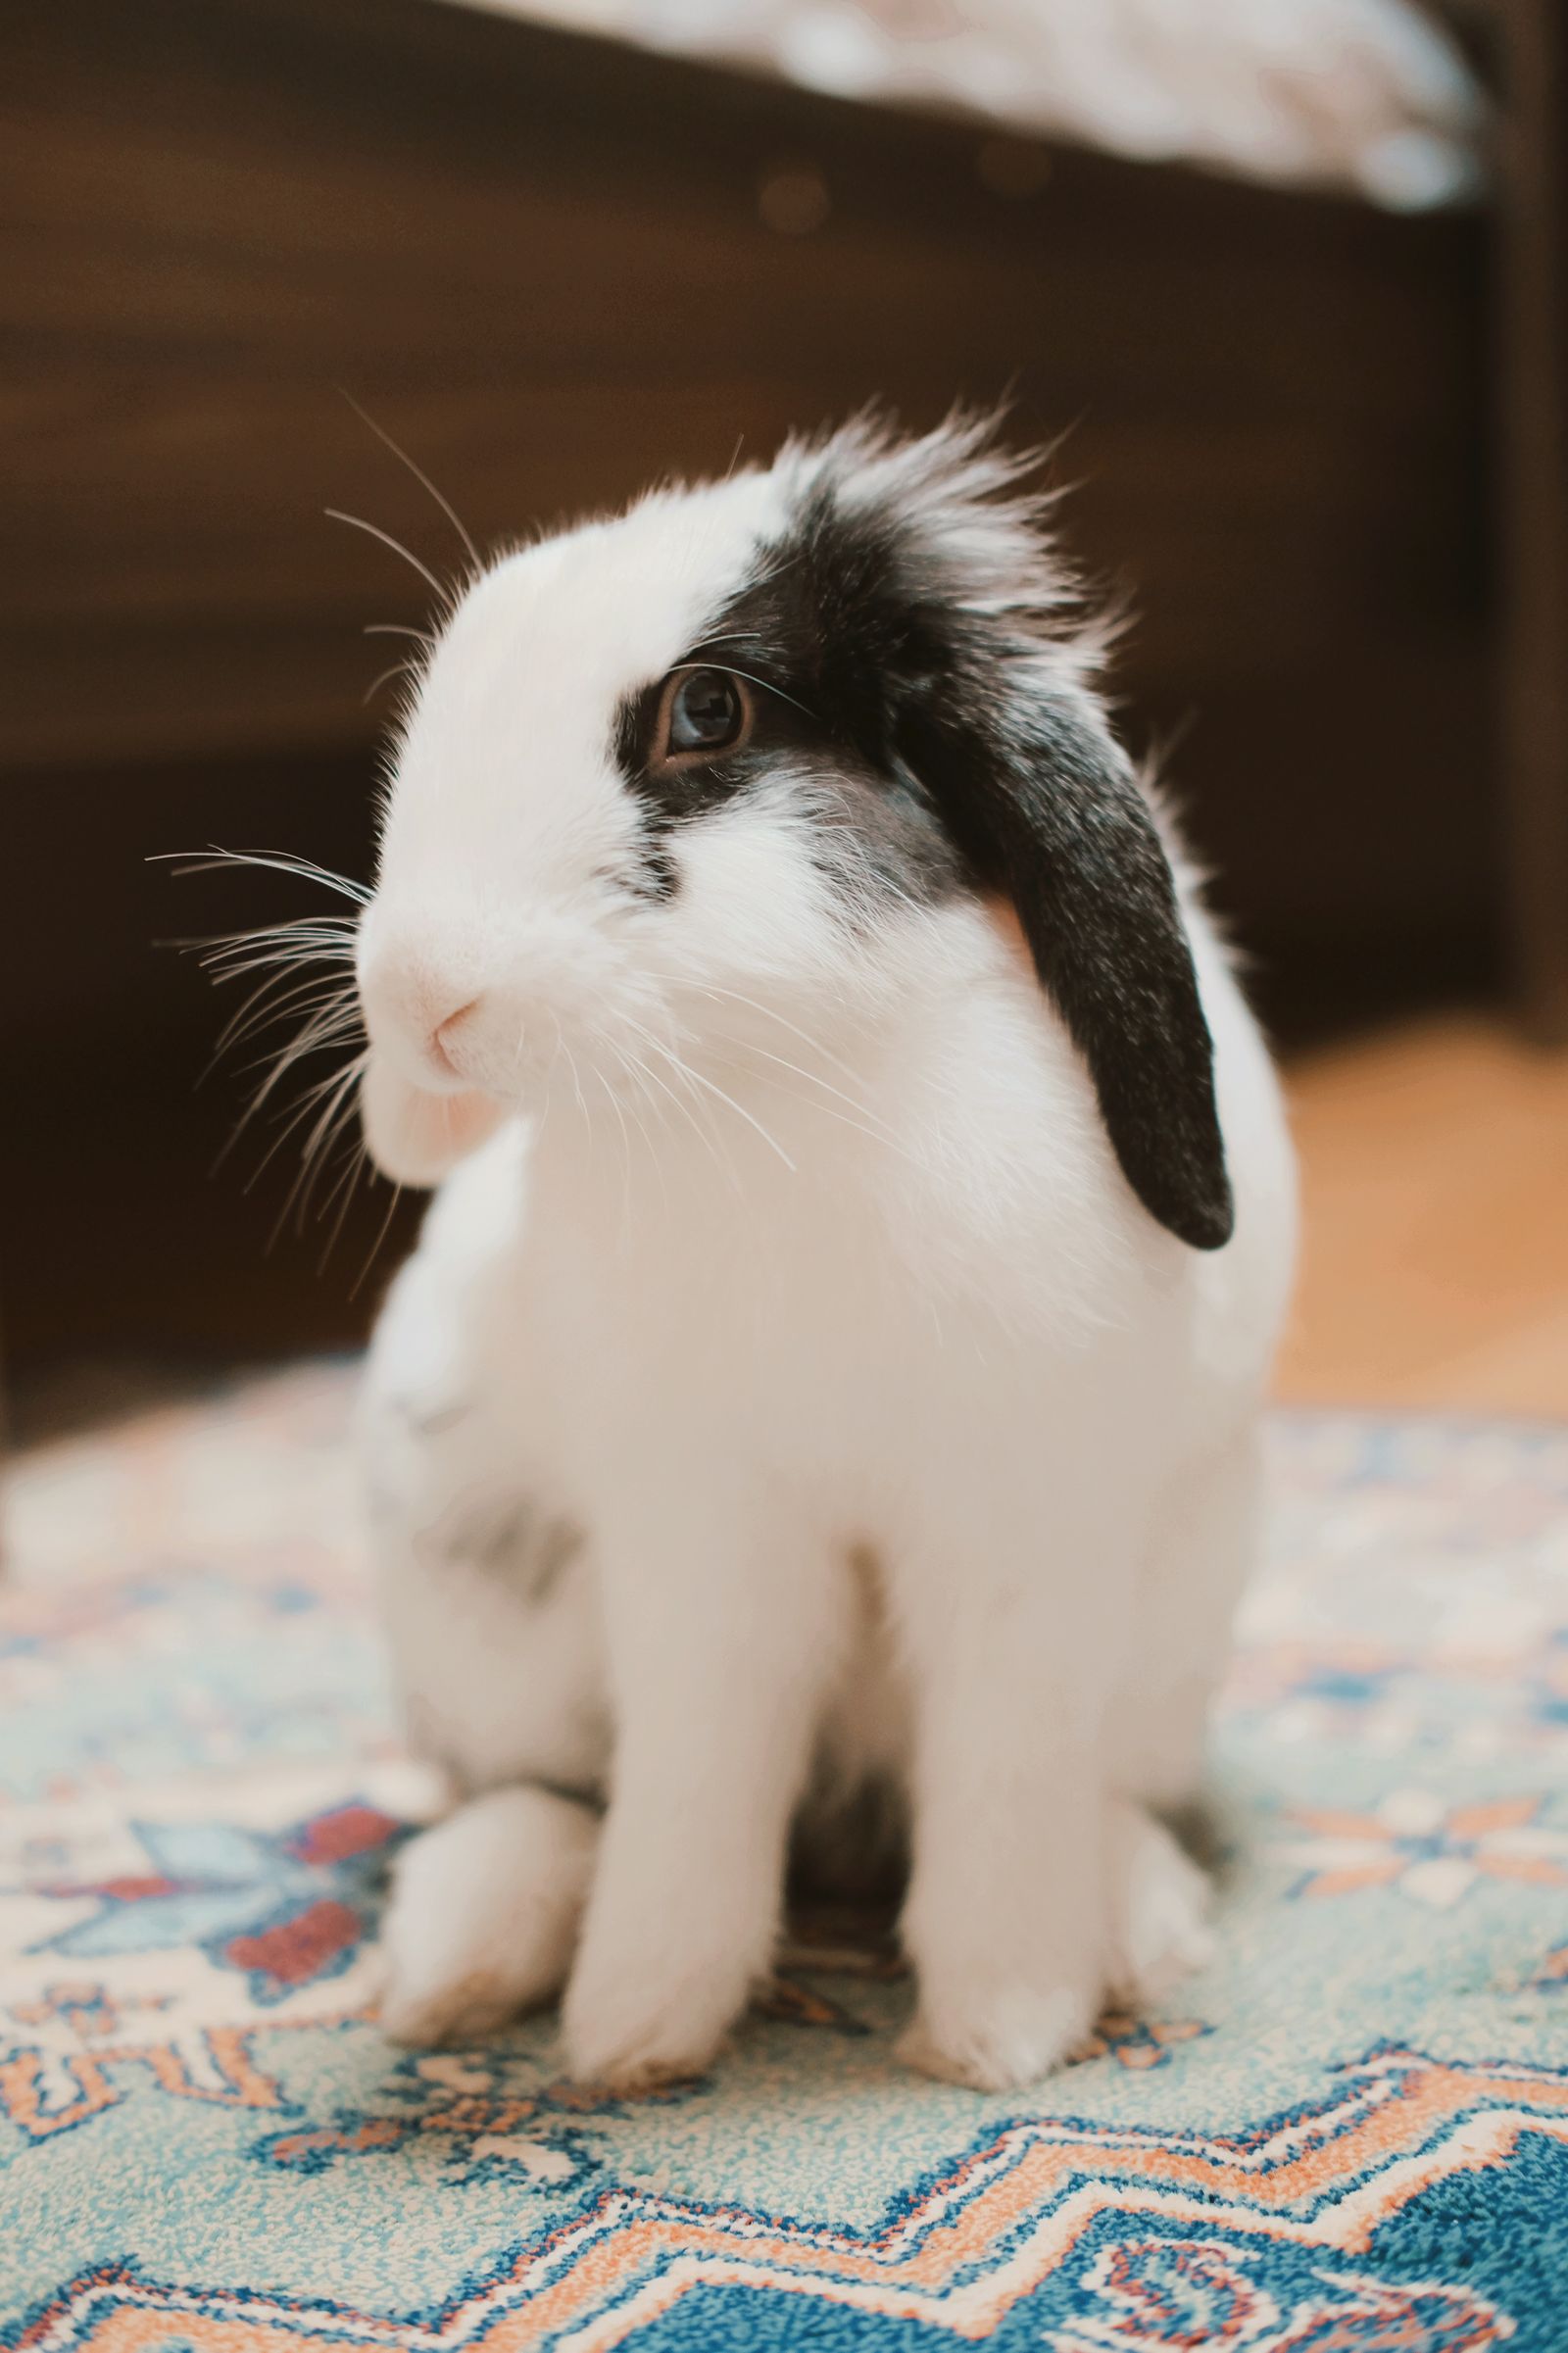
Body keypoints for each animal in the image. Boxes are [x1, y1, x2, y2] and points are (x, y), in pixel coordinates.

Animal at [356, 413, 1297, 2093]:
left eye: (705, 711)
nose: (421, 997)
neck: (773, 1088)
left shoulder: (1022, 1533)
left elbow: (1003, 1774)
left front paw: (1000, 2033)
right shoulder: (699, 1537)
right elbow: (695, 1775)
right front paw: (634, 2033)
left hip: (1182, 1616)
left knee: (1093, 1791)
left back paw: (1136, 1923)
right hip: (474, 1602)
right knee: (545, 1791)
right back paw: (459, 1963)